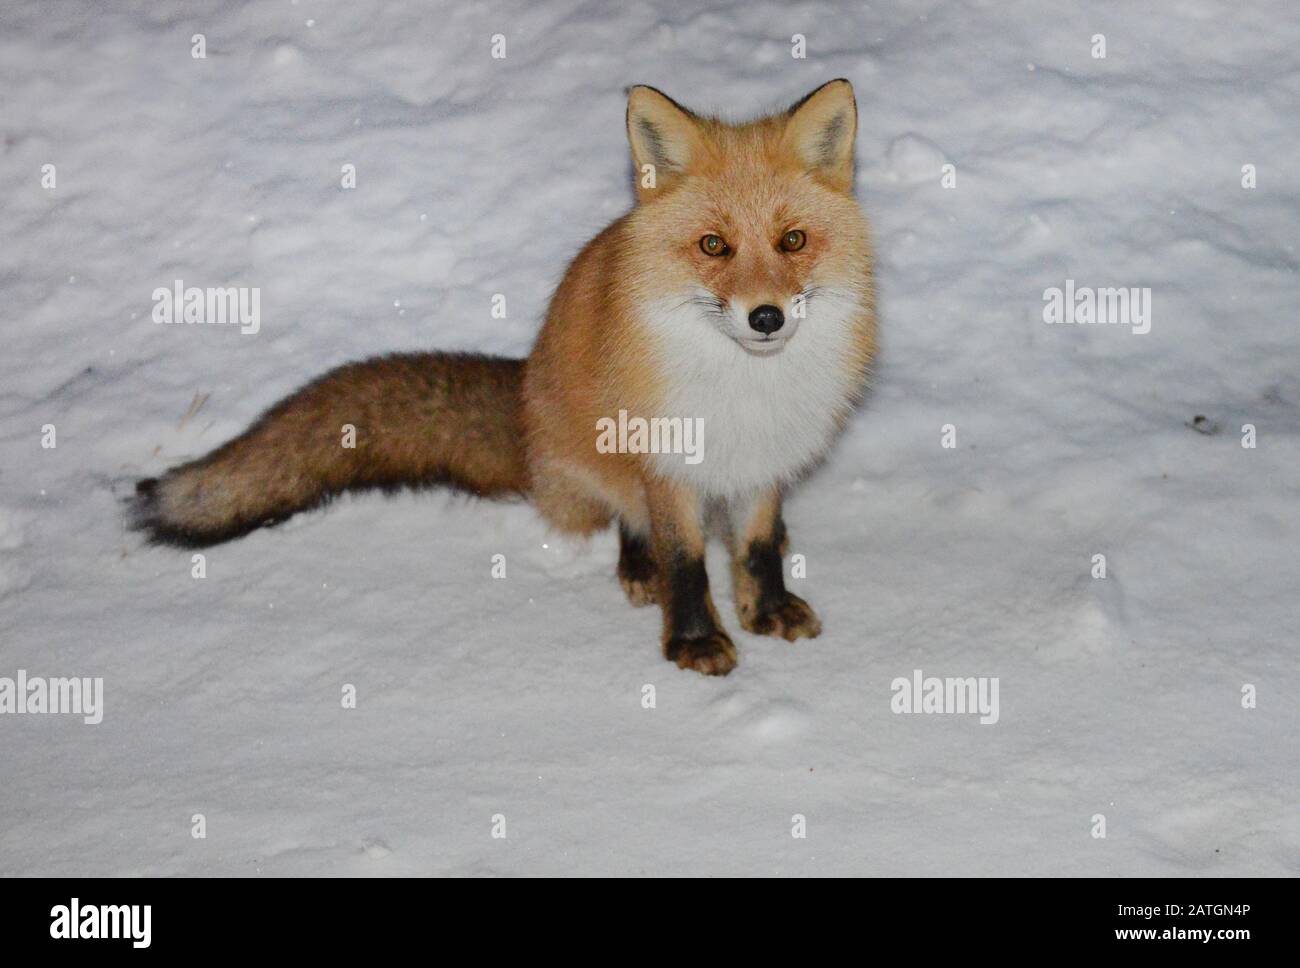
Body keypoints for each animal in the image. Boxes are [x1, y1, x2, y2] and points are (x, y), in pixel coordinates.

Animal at [132, 79, 876, 676]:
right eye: (714, 246)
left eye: (793, 241)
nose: (766, 318)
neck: (745, 390)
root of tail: (522, 406)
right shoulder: (666, 463)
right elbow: (685, 562)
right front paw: (693, 642)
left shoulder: (766, 460)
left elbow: (755, 548)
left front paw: (767, 607)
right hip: (596, 460)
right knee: (626, 523)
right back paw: (639, 570)